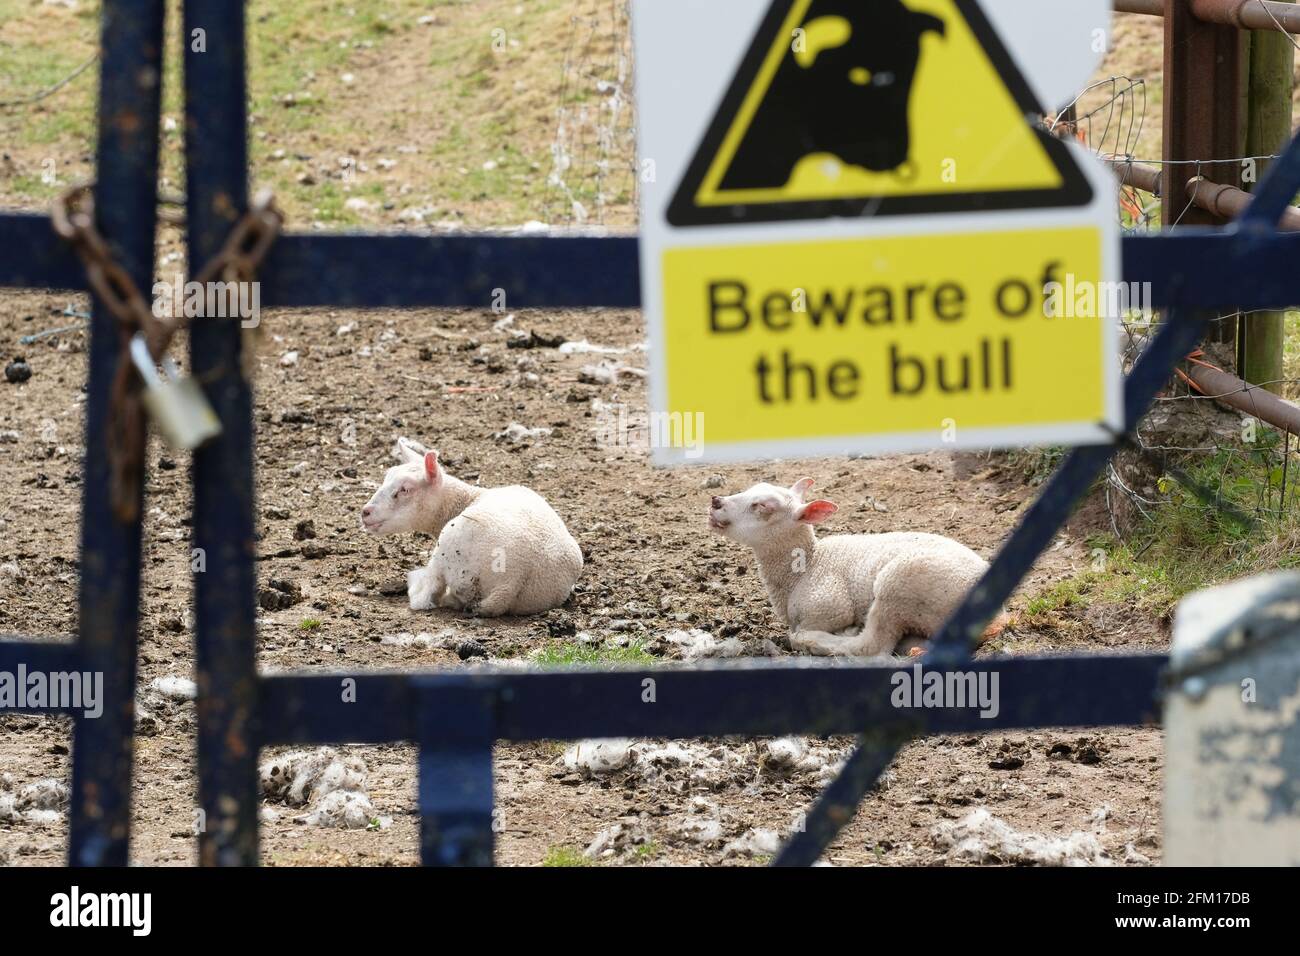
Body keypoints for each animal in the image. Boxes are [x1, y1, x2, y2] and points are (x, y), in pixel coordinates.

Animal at [361, 438, 582, 616]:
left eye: (405, 489)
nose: (365, 512)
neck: (467, 498)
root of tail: (512, 582)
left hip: (447, 551)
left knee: (424, 595)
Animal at [707, 478, 1007, 657]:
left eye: (762, 506)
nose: (715, 502)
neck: (805, 567)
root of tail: (999, 617)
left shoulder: (829, 605)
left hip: (899, 583)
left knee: (872, 646)